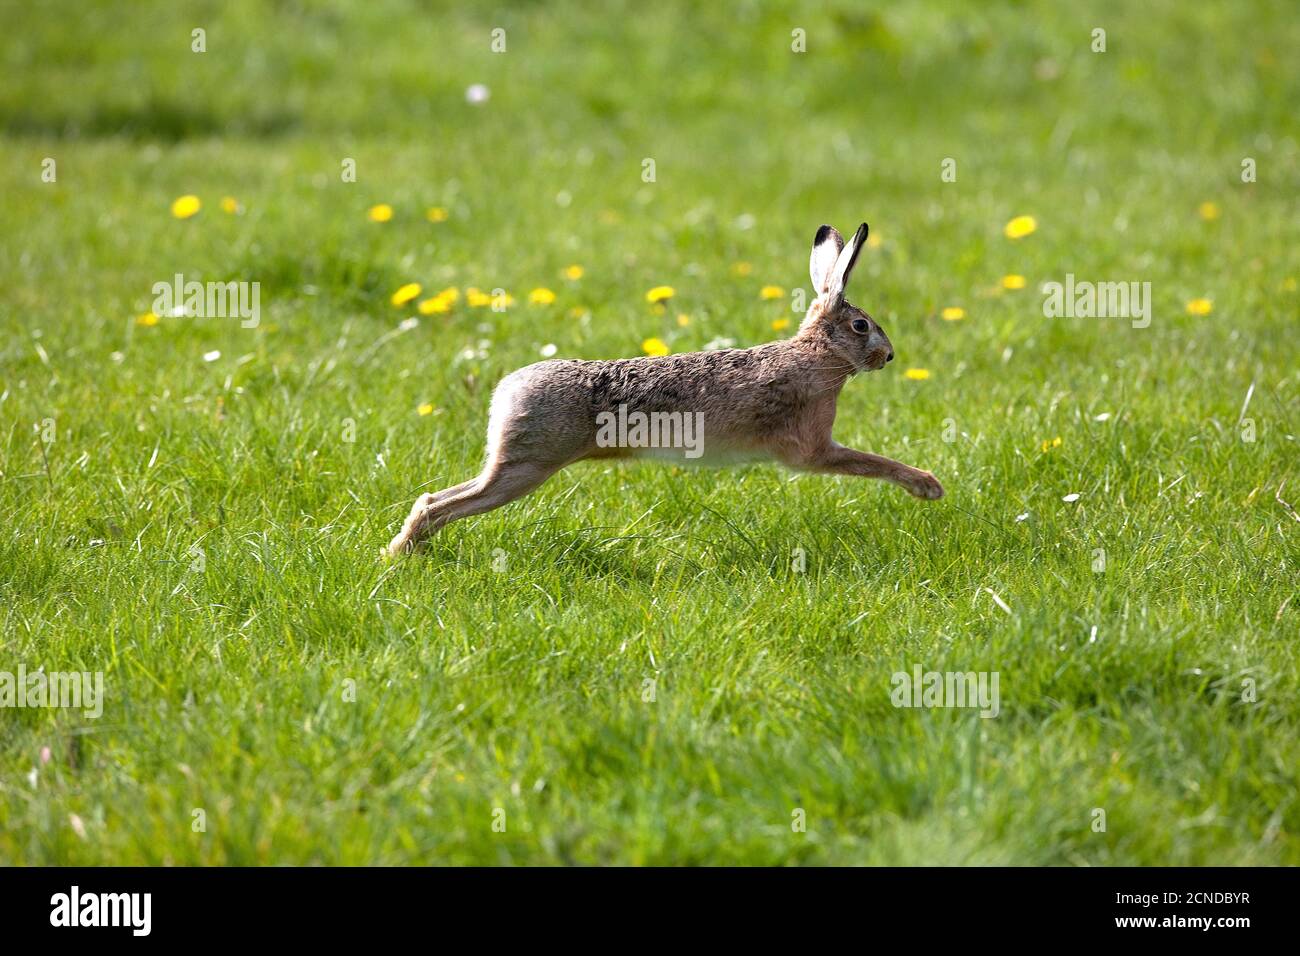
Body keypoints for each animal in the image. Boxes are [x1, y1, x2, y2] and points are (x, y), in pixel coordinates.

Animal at [387, 222, 944, 556]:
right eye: (861, 326)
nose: (889, 356)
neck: (816, 355)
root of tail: (506, 391)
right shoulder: (812, 450)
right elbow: (869, 462)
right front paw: (928, 486)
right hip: (527, 467)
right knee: (443, 504)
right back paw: (402, 554)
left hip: (515, 465)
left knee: (436, 497)